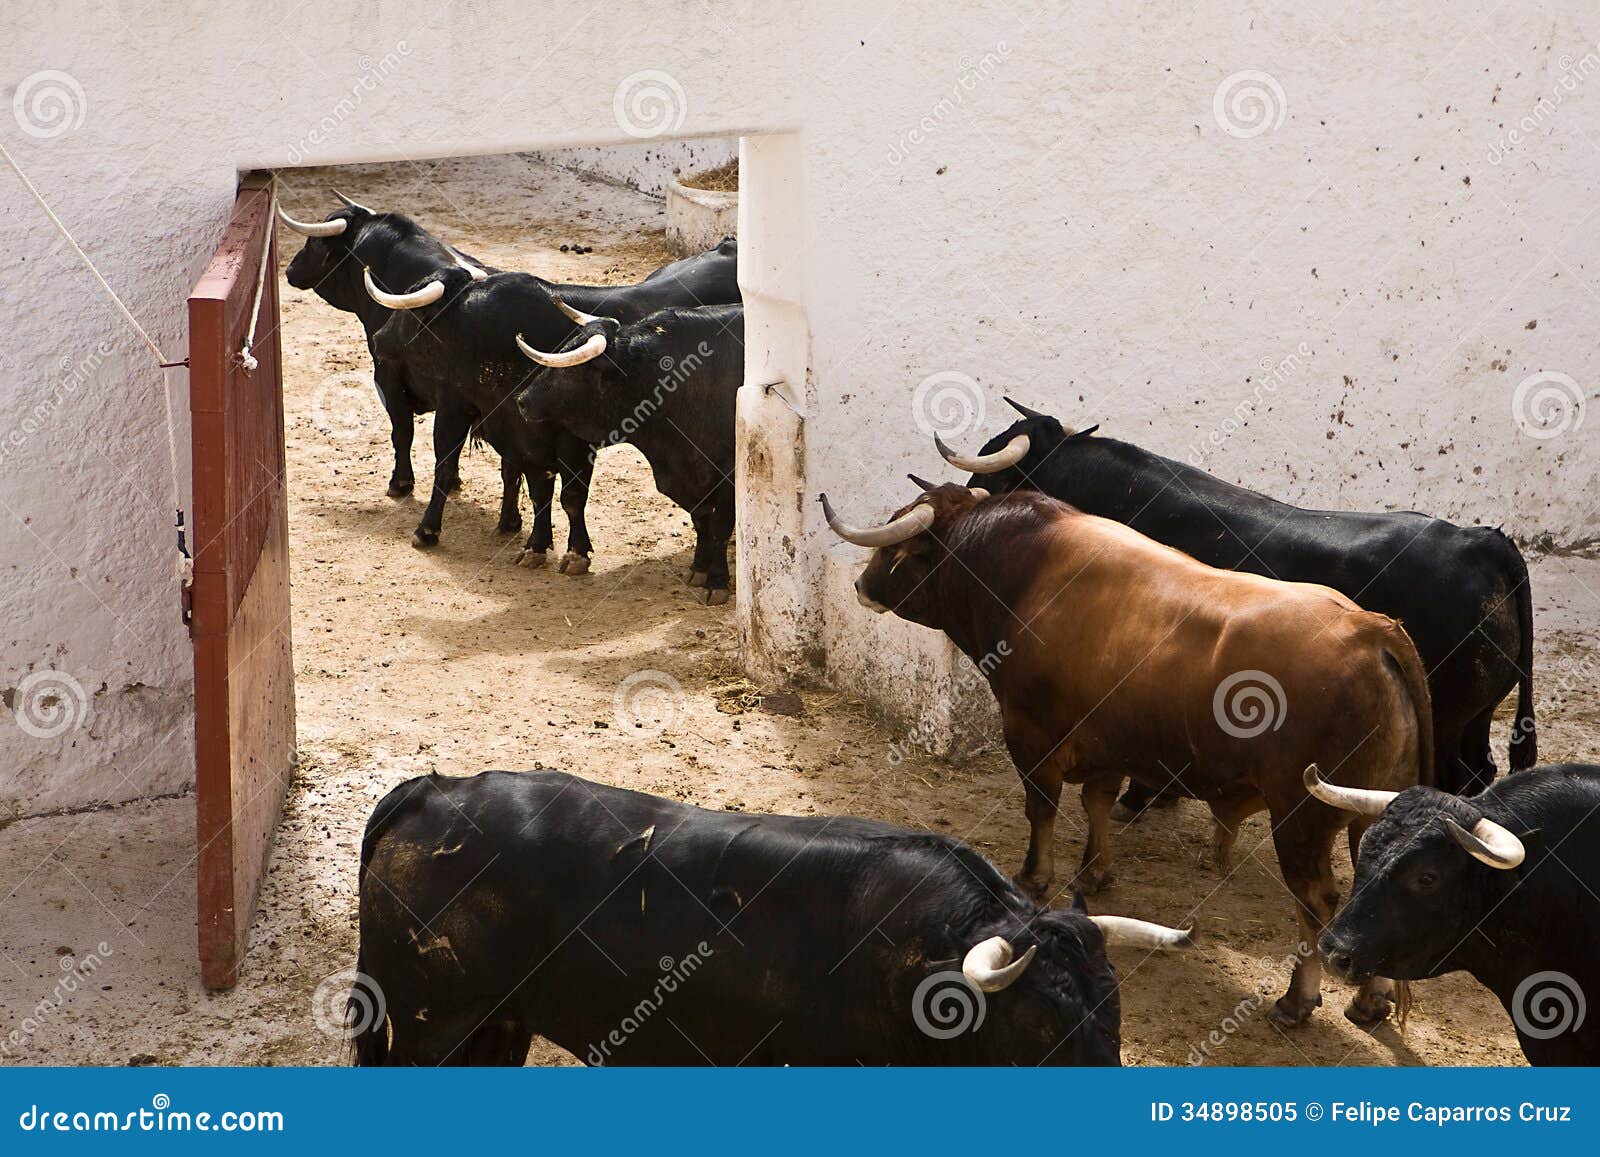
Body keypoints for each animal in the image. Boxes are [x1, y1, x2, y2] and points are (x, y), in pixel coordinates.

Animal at [278, 192, 494, 504]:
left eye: (315, 242)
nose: (290, 269)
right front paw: (453, 480)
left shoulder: (386, 374)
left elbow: (402, 429)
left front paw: (400, 482)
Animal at [363, 240, 740, 567]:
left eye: (412, 312)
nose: (379, 339)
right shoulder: (508, 428)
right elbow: (535, 489)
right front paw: (535, 544)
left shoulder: (572, 441)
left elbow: (570, 496)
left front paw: (576, 553)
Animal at [512, 302, 743, 603]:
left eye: (572, 371)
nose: (522, 401)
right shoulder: (684, 477)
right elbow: (701, 519)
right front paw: (699, 569)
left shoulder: (729, 474)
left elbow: (720, 526)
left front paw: (717, 582)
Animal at [822, 480, 1434, 1026]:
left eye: (894, 549)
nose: (860, 584)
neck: (1022, 570)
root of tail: (1371, 631)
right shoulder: (1110, 744)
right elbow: (1096, 803)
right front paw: (1095, 872)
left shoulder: (1030, 733)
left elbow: (1042, 808)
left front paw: (1035, 876)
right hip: (1369, 811)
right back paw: (1370, 1000)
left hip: (1300, 817)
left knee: (1316, 902)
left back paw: (1296, 1001)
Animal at [935, 399, 1536, 801]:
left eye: (998, 465)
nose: (966, 502)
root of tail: (1483, 541)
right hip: (1474, 715)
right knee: (1482, 772)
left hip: (1450, 718)